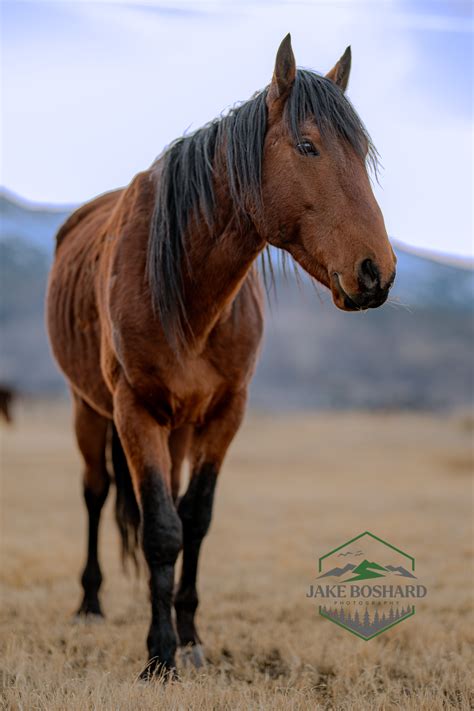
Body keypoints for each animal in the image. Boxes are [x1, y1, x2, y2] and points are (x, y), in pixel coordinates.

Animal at [46, 35, 396, 678]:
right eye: (307, 146)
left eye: (362, 153)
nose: (375, 272)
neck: (185, 292)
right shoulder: (135, 411)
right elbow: (161, 529)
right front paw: (159, 655)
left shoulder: (224, 413)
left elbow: (195, 520)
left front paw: (188, 637)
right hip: (90, 409)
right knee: (95, 492)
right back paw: (89, 605)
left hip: (180, 428)